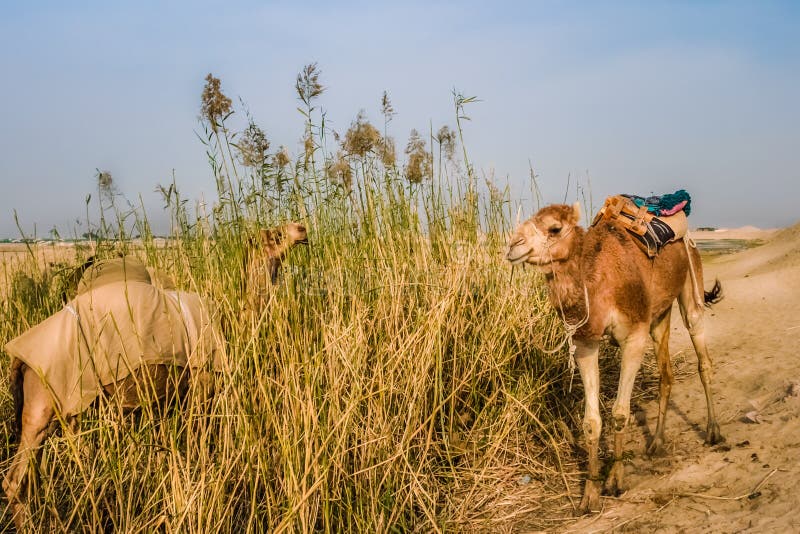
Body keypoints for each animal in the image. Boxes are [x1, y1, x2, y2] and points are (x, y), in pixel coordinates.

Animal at [506, 202, 723, 514]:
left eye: (554, 228)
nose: (513, 245)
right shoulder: (585, 341)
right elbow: (591, 421)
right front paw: (589, 495)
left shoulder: (633, 335)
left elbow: (620, 412)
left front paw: (616, 480)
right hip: (658, 313)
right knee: (666, 373)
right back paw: (656, 442)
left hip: (691, 280)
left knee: (701, 350)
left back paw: (713, 432)